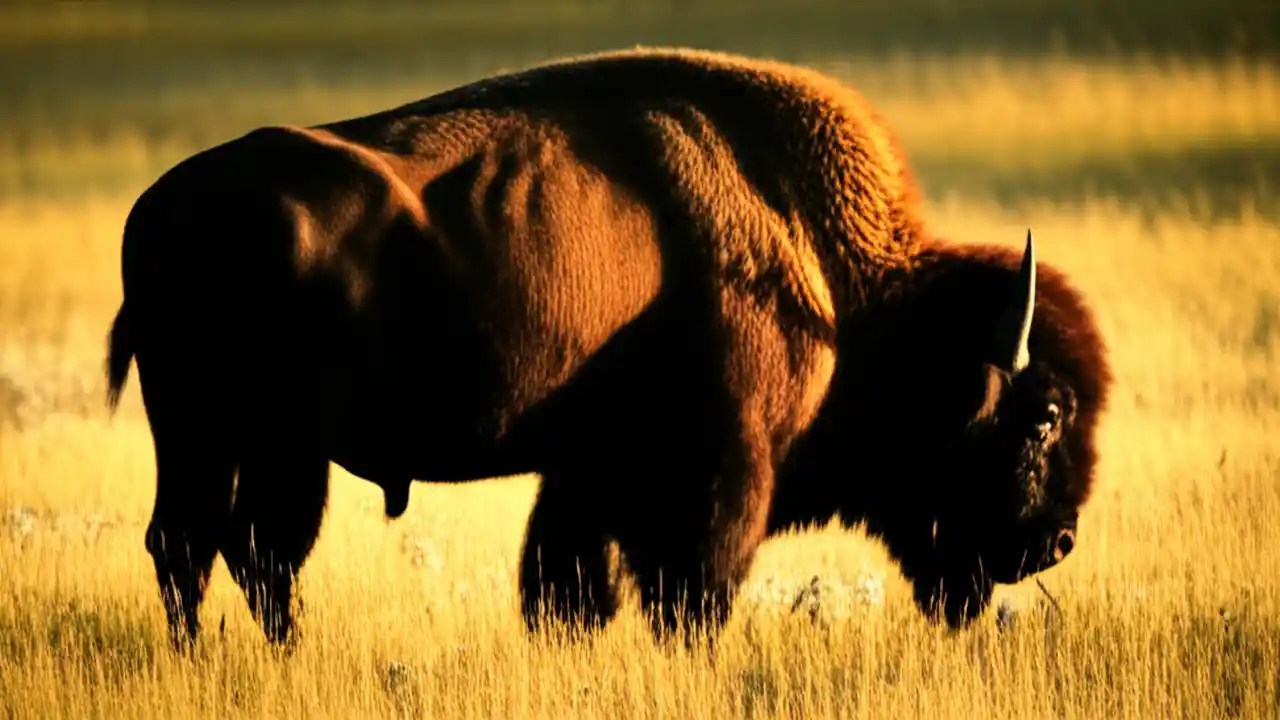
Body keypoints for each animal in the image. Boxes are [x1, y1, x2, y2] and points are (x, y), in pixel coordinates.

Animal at [104, 46, 1108, 648]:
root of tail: (158, 210)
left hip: (215, 439)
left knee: (207, 546)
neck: (826, 269)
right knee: (234, 548)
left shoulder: (583, 474)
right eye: (1044, 416)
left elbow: (564, 588)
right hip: (260, 440)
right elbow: (687, 593)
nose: (1058, 541)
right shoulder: (719, 474)